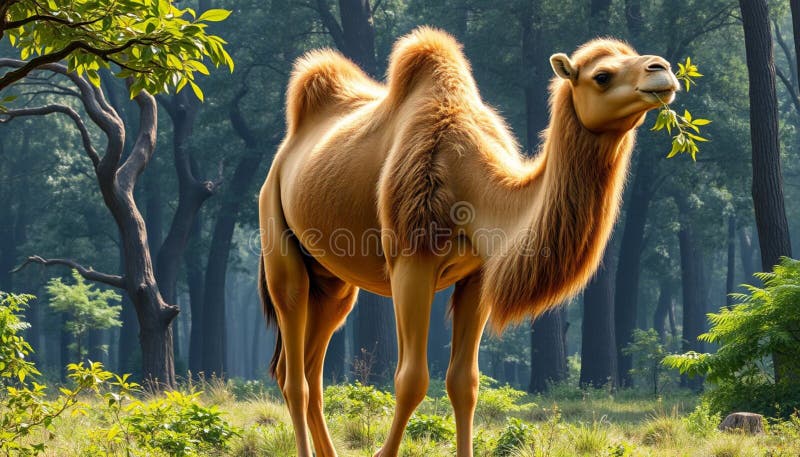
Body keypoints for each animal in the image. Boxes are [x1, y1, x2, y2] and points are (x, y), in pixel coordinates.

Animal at [258, 27, 679, 457]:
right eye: (602, 76)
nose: (662, 69)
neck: (469, 183)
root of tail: (283, 155)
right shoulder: (410, 261)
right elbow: (411, 380)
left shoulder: (476, 276)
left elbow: (464, 382)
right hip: (276, 233)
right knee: (294, 373)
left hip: (334, 284)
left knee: (310, 368)